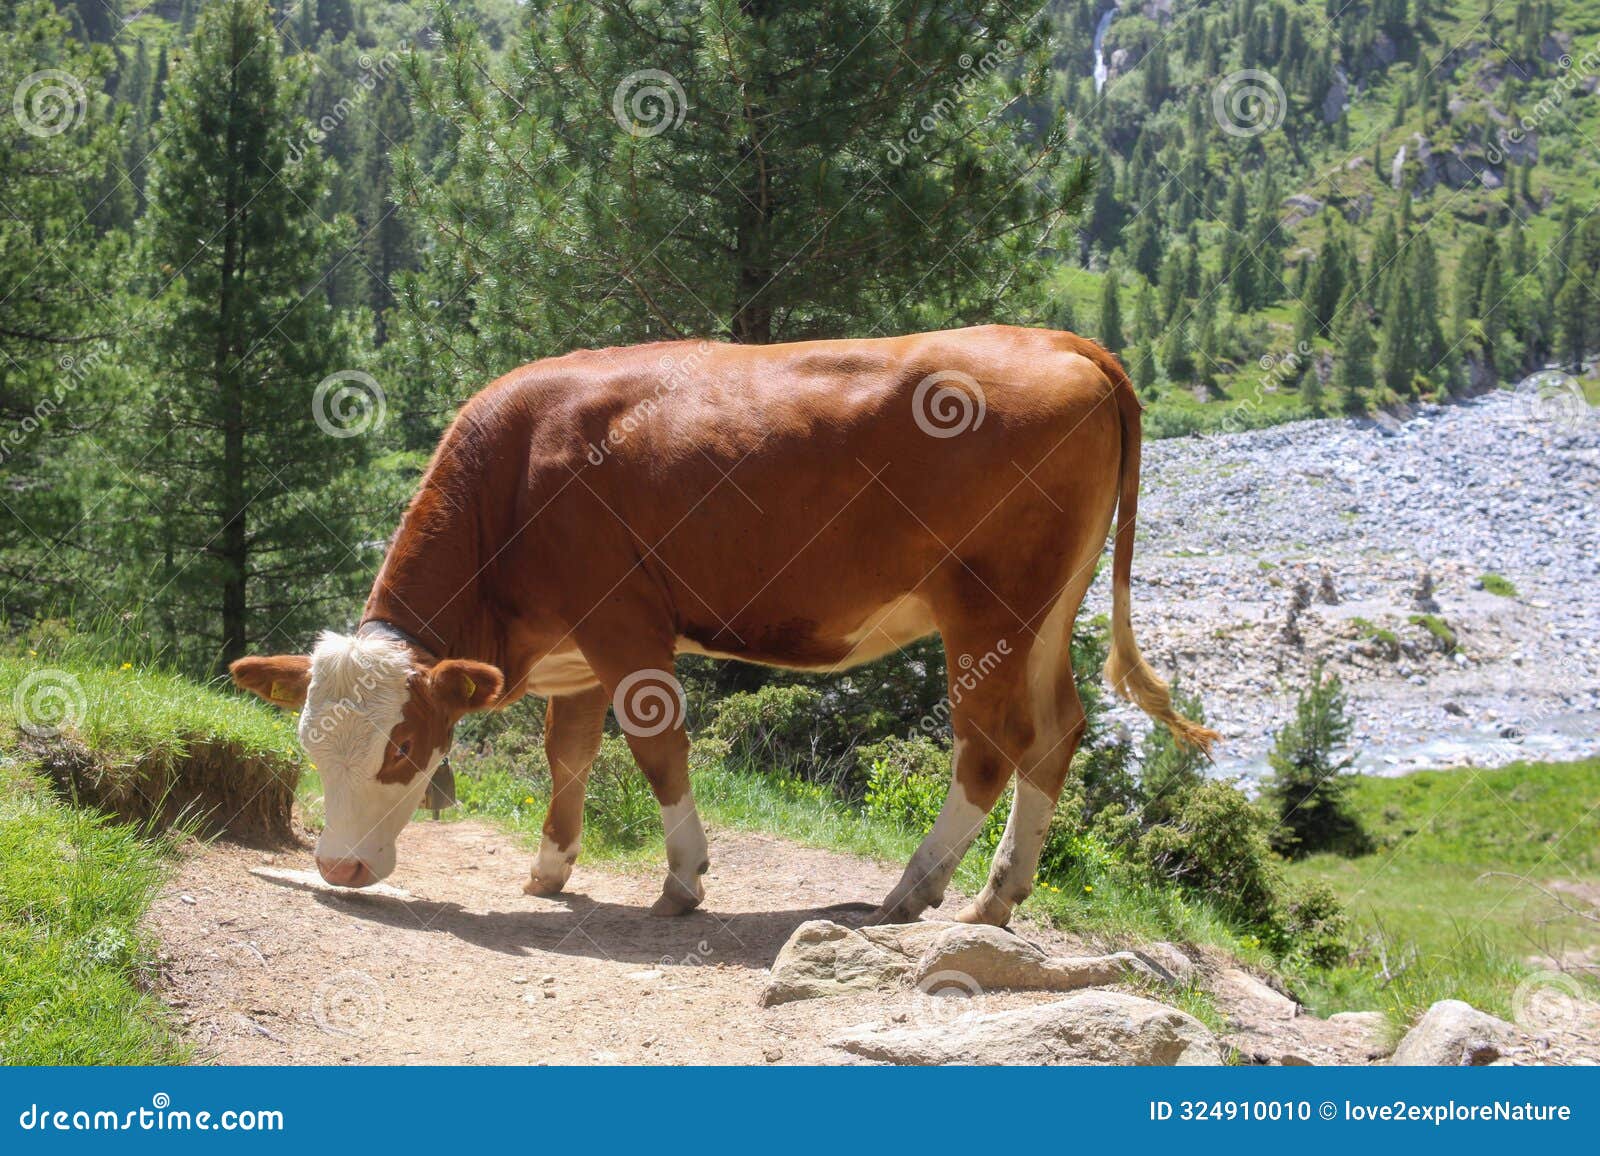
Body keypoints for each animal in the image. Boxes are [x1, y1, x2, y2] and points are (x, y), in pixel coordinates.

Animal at [231, 325, 1216, 926]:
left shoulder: (623, 621)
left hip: (987, 605)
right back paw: (996, 897)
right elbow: (568, 753)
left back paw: (913, 888)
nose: (340, 870)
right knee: (1058, 731)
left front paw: (682, 878)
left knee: (992, 742)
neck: (513, 481)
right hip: (1050, 608)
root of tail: (1054, 339)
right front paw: (550, 869)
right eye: (309, 746)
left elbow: (657, 749)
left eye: (400, 749)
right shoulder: (575, 650)